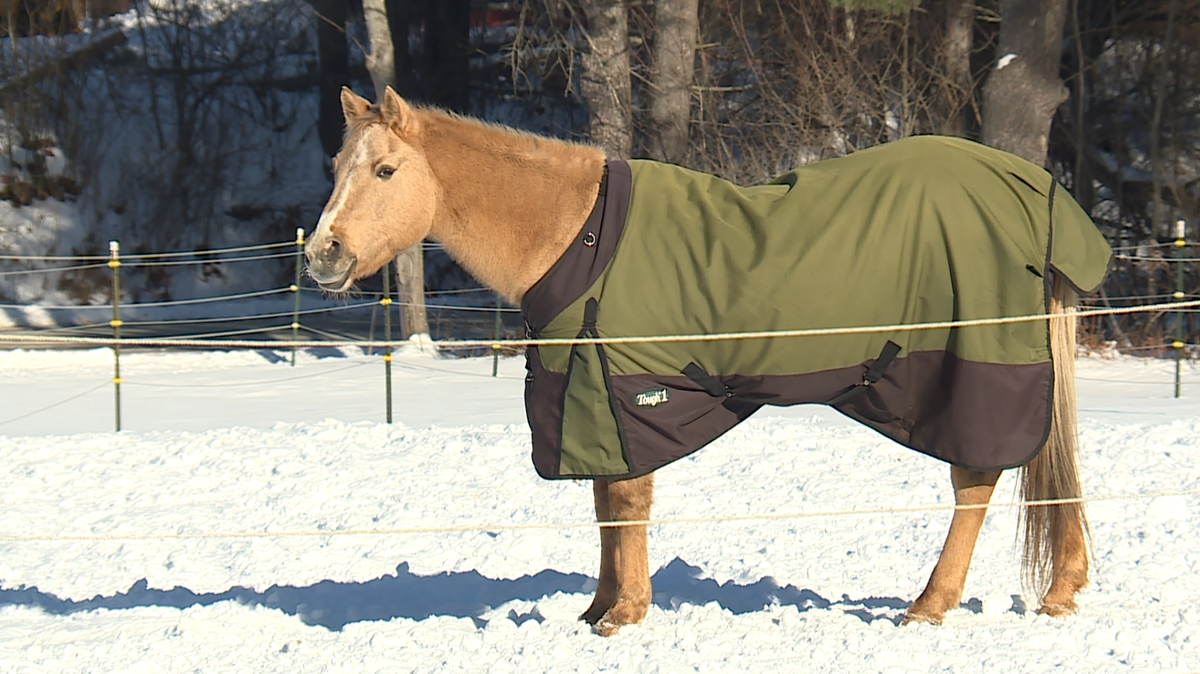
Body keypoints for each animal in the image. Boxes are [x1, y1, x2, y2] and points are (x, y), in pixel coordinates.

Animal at [306, 86, 1108, 635]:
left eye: (385, 171)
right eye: (337, 165)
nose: (323, 255)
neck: (578, 237)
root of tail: (1038, 193)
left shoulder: (621, 395)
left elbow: (627, 503)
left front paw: (623, 613)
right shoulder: (594, 404)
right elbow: (605, 505)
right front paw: (599, 605)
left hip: (969, 376)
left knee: (973, 484)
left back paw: (929, 605)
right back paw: (1060, 590)